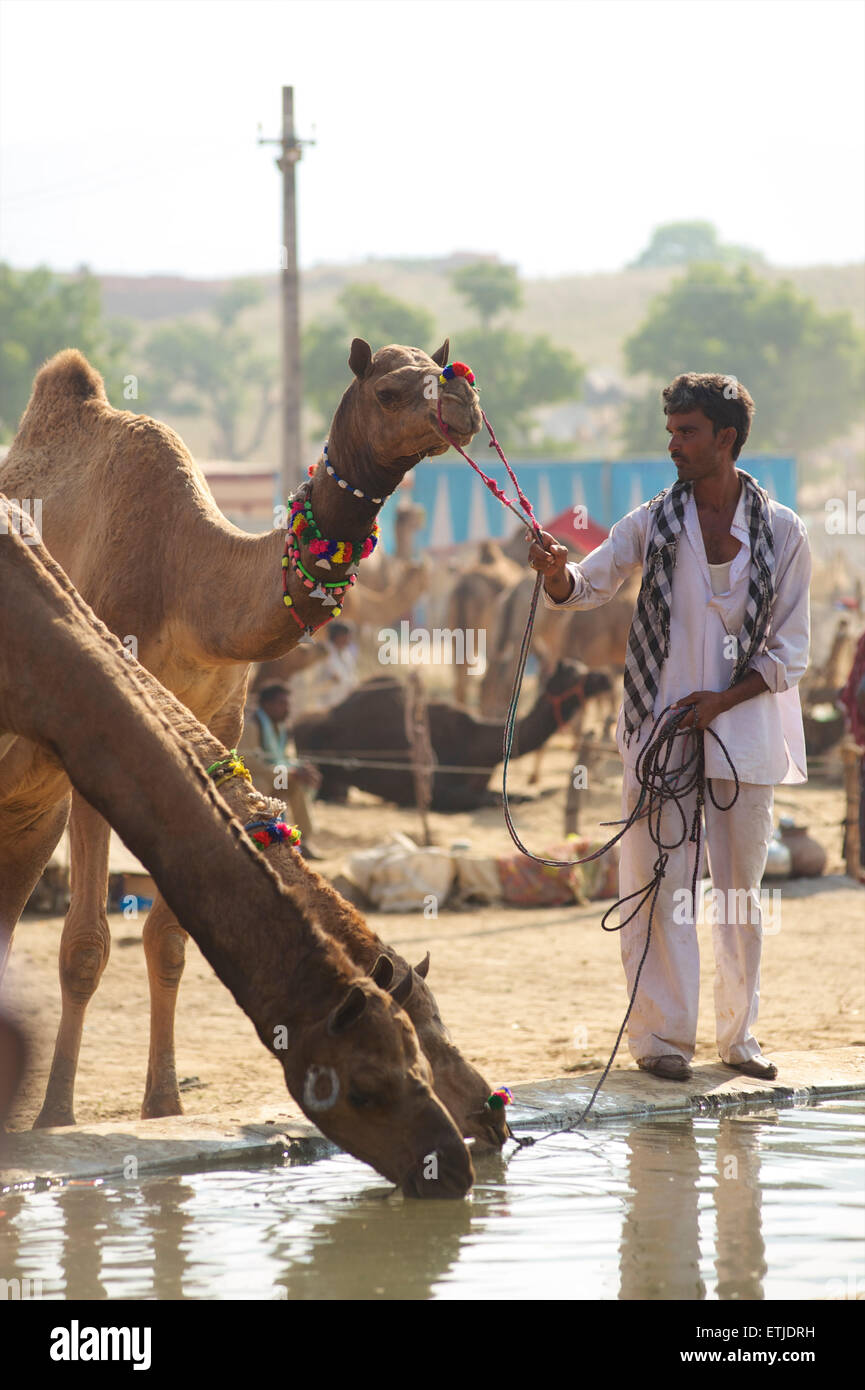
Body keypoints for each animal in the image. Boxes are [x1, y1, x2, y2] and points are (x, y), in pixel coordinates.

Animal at [0, 337, 481, 1127]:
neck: (187, 577)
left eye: (442, 367)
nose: (461, 400)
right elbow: (85, 945)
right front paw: (56, 1117)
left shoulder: (221, 722)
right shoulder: (95, 739)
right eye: (388, 390)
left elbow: (169, 939)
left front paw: (164, 1106)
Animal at [294, 660, 613, 811]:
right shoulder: (438, 792)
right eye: (575, 677)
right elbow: (488, 800)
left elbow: (515, 796)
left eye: (585, 671)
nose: (605, 678)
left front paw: (541, 792)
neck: (478, 746)